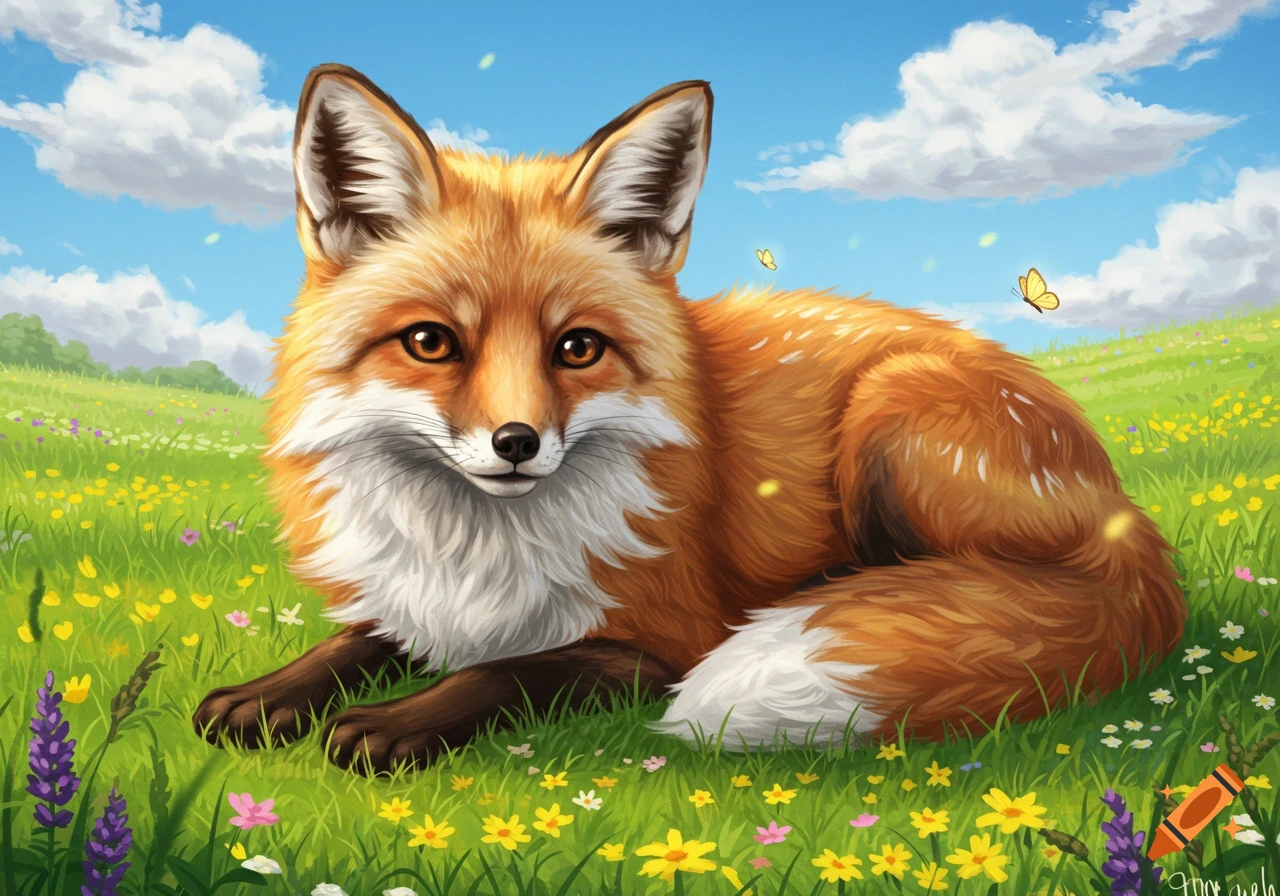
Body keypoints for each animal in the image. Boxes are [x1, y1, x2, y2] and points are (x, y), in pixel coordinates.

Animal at [193, 63, 1186, 774]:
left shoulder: (664, 645)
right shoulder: (421, 602)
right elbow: (363, 639)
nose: (516, 444)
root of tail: (1126, 524)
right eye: (431, 342)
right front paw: (269, 694)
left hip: (892, 412)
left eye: (578, 348)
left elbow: (513, 668)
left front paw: (395, 723)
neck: (476, 552)